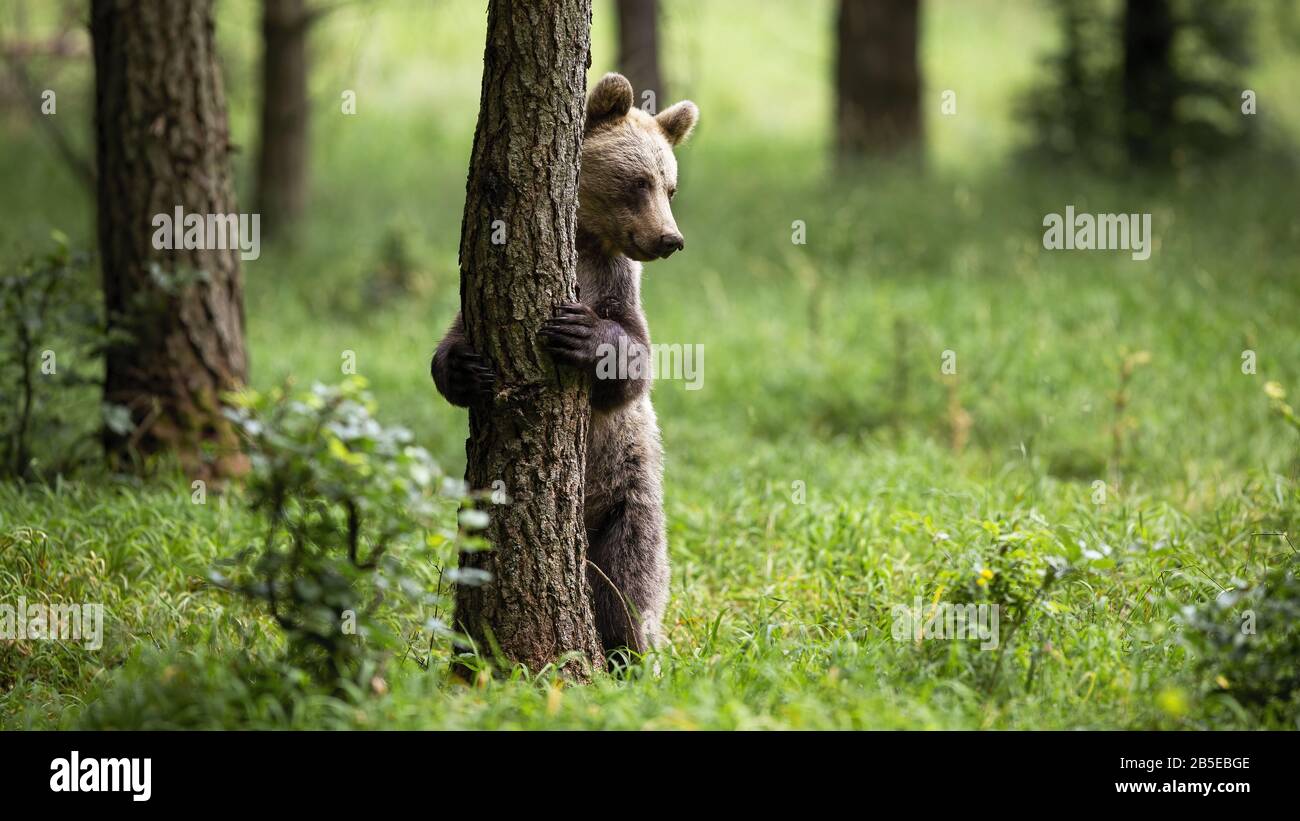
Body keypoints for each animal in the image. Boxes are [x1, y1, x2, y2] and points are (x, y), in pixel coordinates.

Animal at [431, 72, 698, 659]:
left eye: (669, 186)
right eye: (639, 182)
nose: (670, 239)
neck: (585, 241)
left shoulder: (617, 286)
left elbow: (635, 363)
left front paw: (581, 334)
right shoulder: (478, 293)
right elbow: (450, 347)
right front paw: (466, 368)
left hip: (630, 496)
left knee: (630, 581)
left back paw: (630, 651)